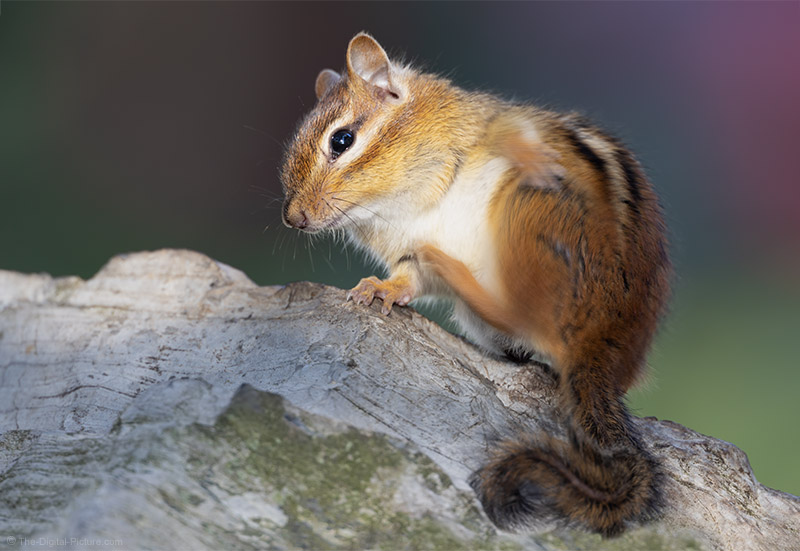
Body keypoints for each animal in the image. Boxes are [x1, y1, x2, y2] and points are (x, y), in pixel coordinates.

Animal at [280, 32, 671, 537]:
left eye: (341, 140)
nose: (292, 218)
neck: (399, 204)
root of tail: (600, 344)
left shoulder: (489, 123)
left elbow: (514, 131)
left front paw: (531, 154)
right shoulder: (405, 253)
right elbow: (408, 279)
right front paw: (379, 289)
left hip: (532, 213)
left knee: (526, 317)